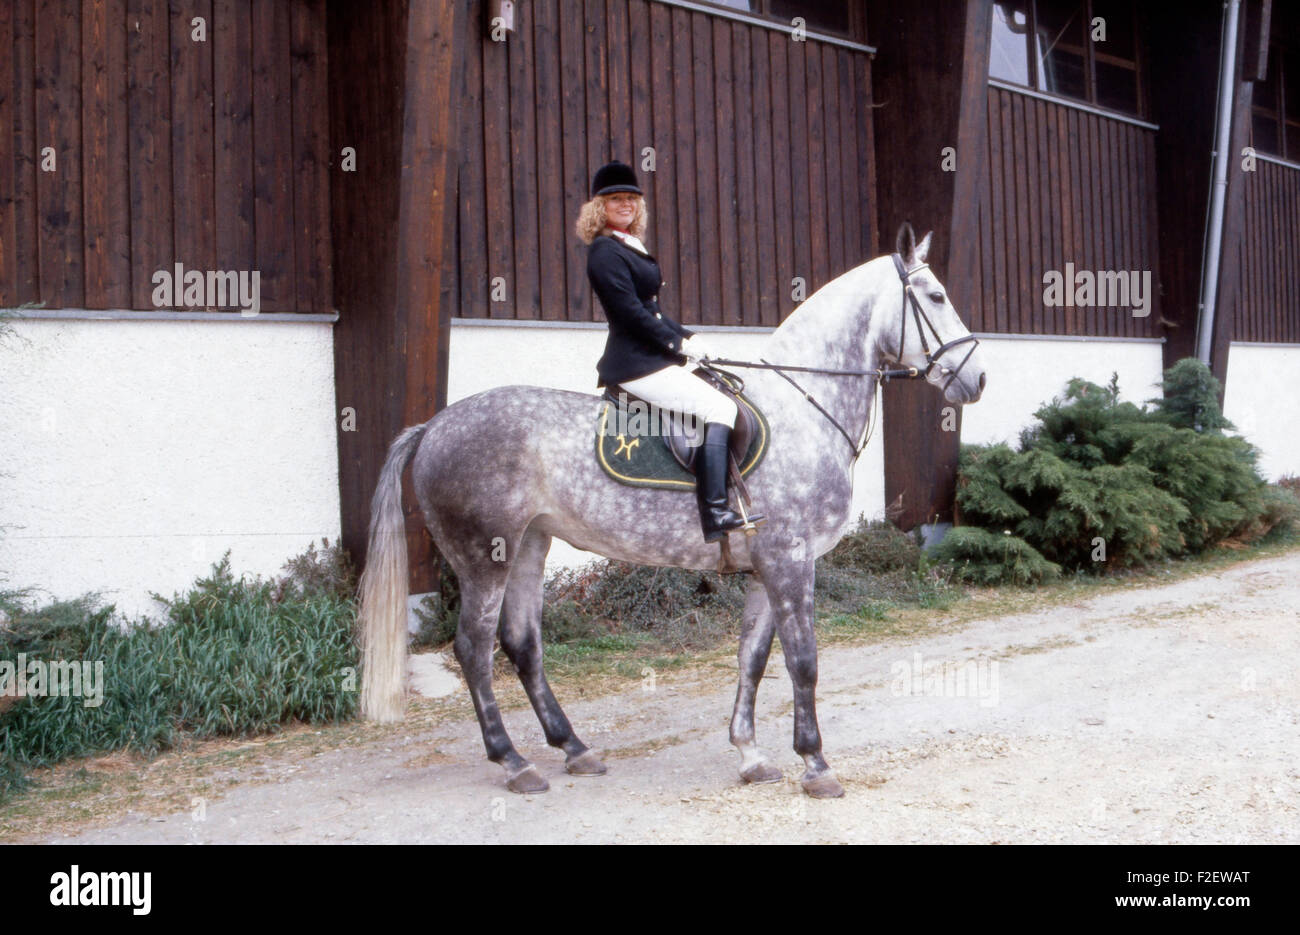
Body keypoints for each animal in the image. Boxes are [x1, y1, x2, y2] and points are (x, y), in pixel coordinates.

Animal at [356, 224, 982, 795]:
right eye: (934, 297)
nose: (976, 380)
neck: (803, 406)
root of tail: (433, 426)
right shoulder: (790, 558)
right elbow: (802, 659)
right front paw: (815, 764)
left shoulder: (765, 566)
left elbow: (752, 658)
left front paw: (751, 756)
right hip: (484, 557)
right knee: (474, 650)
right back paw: (514, 762)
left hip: (530, 543)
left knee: (521, 644)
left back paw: (573, 748)